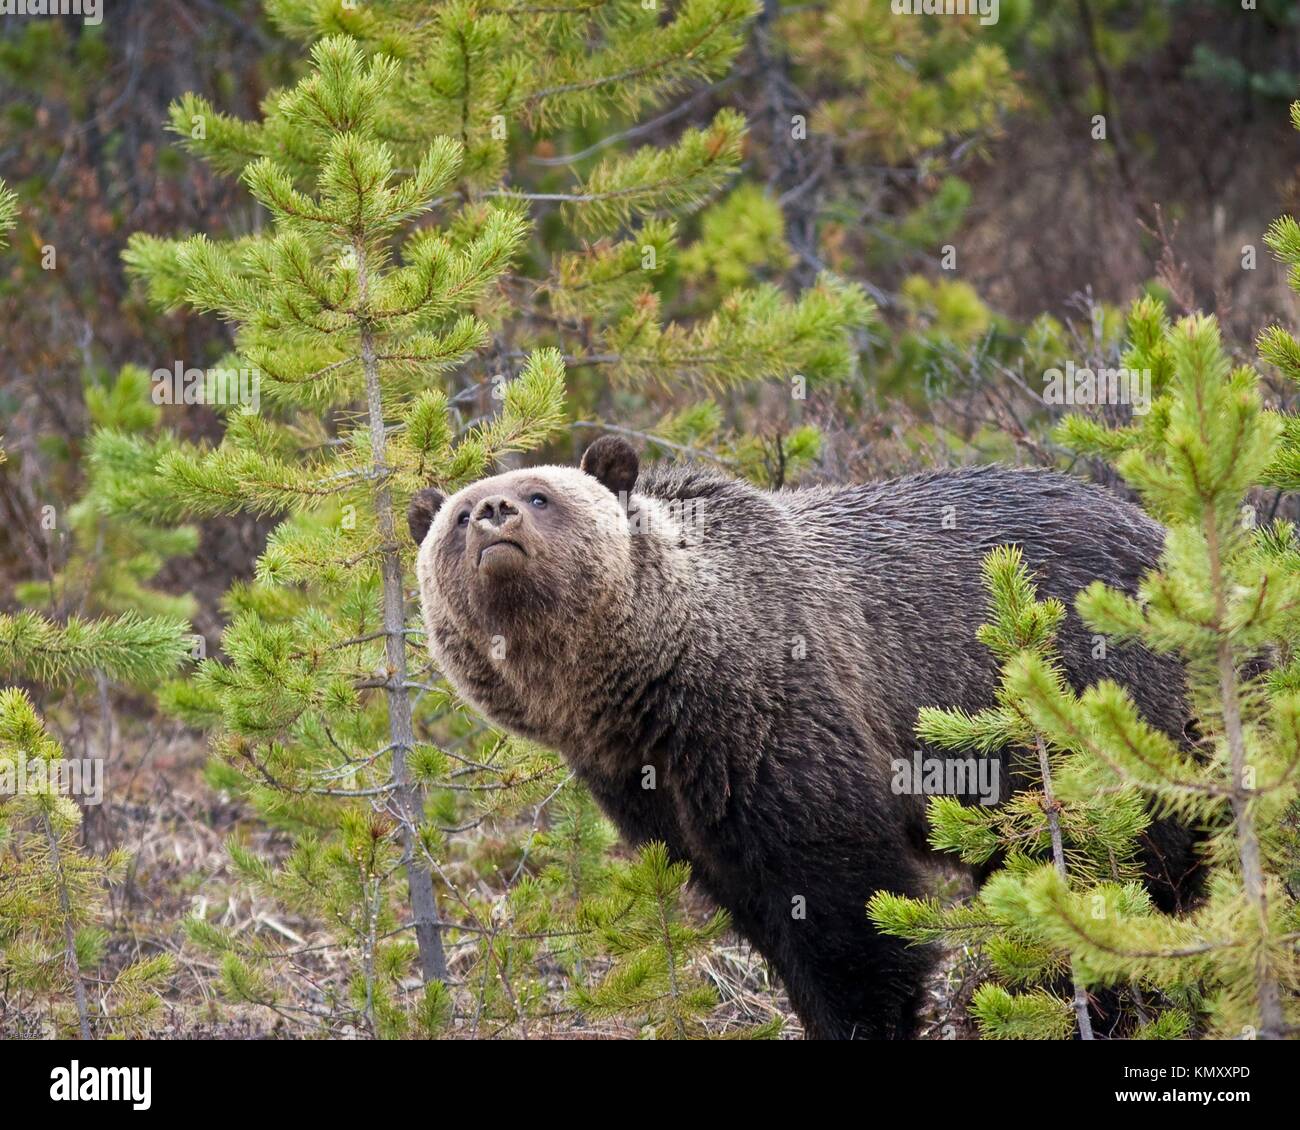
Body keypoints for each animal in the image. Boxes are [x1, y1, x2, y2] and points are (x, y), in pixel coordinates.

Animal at [408, 435, 1199, 1039]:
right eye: (456, 517)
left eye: (542, 493)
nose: (494, 513)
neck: (651, 686)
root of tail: (1160, 531)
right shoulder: (659, 793)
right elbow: (759, 906)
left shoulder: (776, 724)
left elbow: (843, 909)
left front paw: (866, 1018)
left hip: (1105, 693)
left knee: (1146, 856)